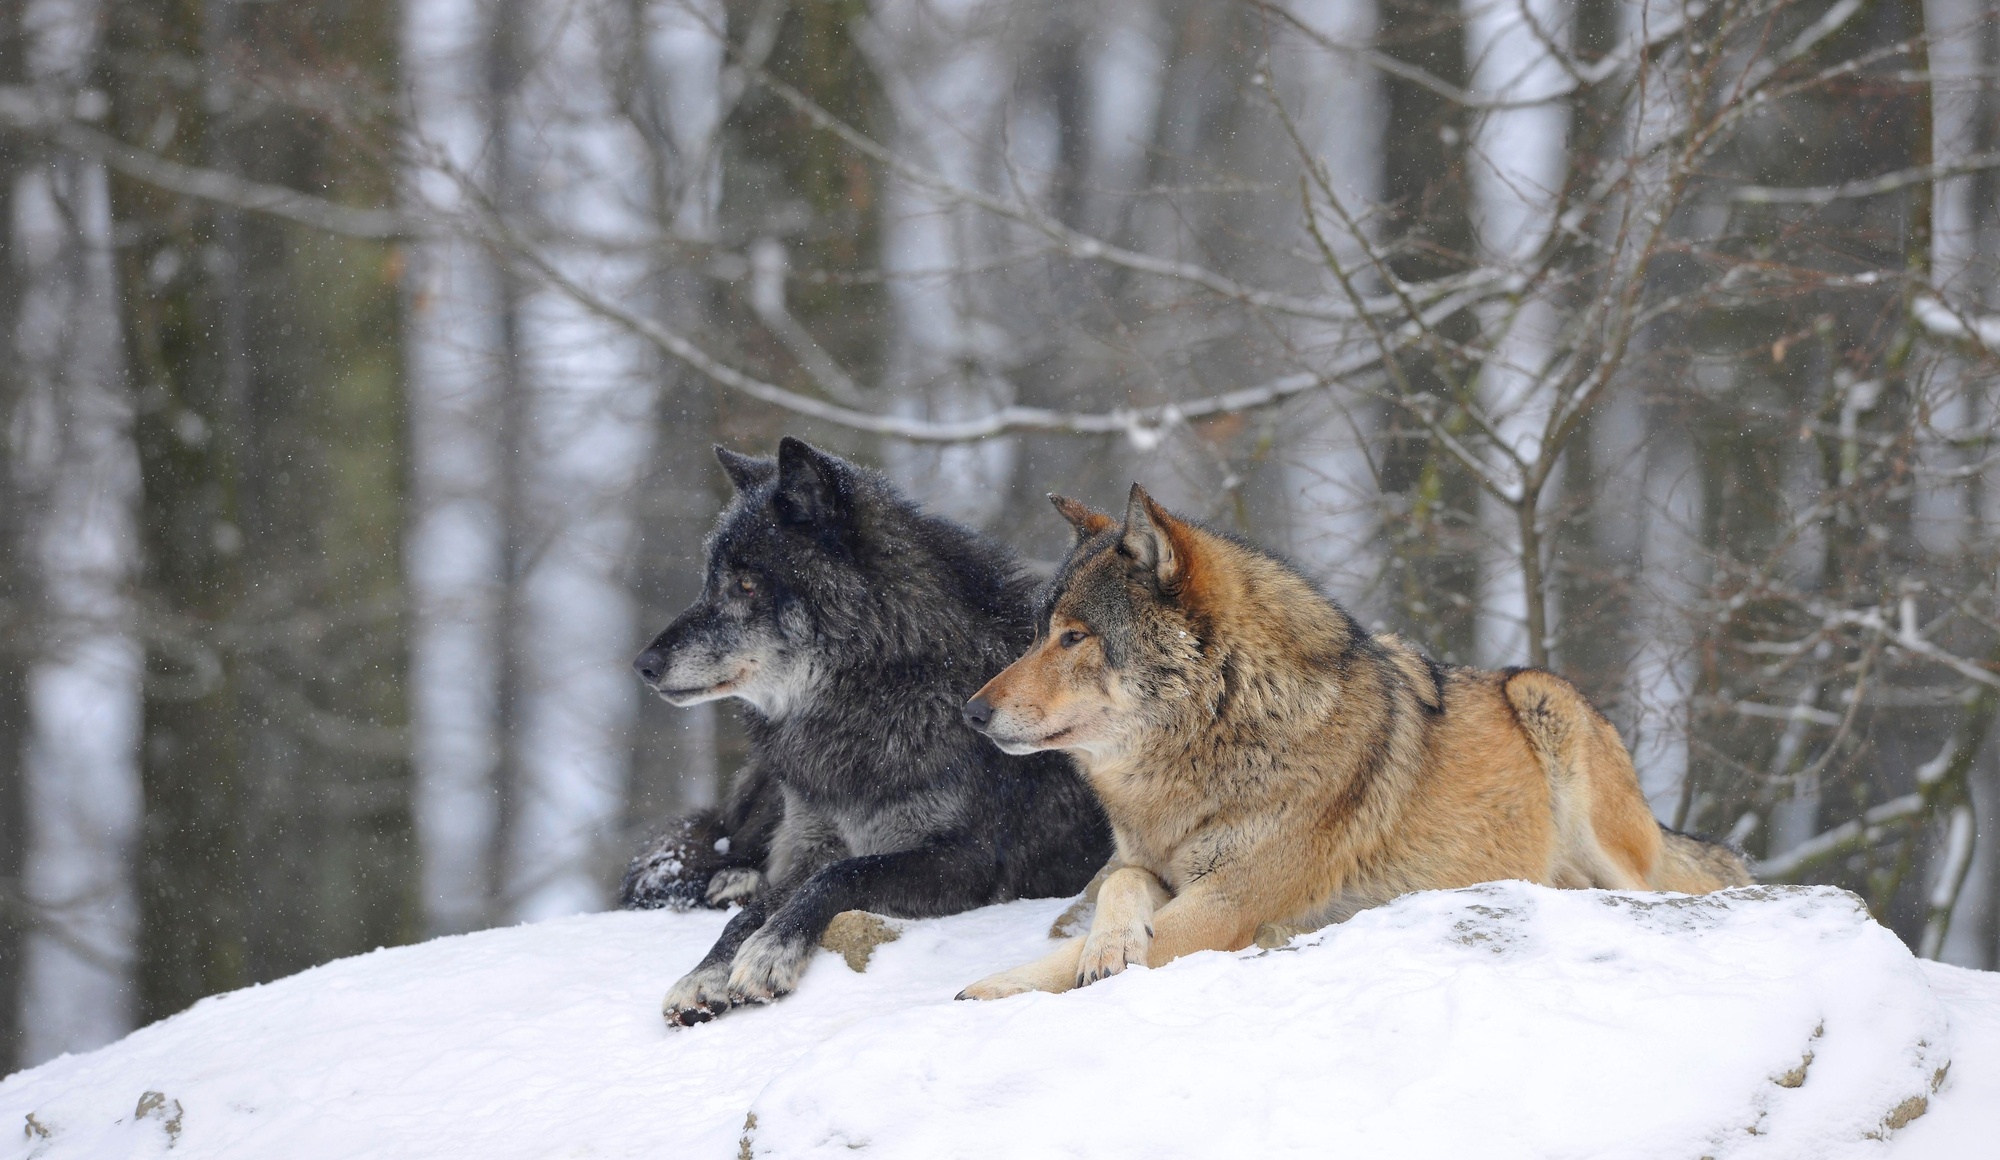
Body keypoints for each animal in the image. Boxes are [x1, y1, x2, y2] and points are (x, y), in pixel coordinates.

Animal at [629, 437, 1111, 1025]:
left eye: (745, 585)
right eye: (708, 582)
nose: (644, 665)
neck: (882, 685)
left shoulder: (969, 863)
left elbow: (844, 875)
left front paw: (770, 952)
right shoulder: (813, 844)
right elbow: (766, 903)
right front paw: (705, 973)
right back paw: (731, 880)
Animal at [957, 485, 1751, 999]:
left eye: (1074, 637)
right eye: (1038, 633)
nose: (970, 712)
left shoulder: (1225, 905)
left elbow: (1072, 958)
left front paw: (993, 986)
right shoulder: (1153, 865)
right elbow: (1120, 884)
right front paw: (1110, 941)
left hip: (1547, 706)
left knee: (1646, 892)